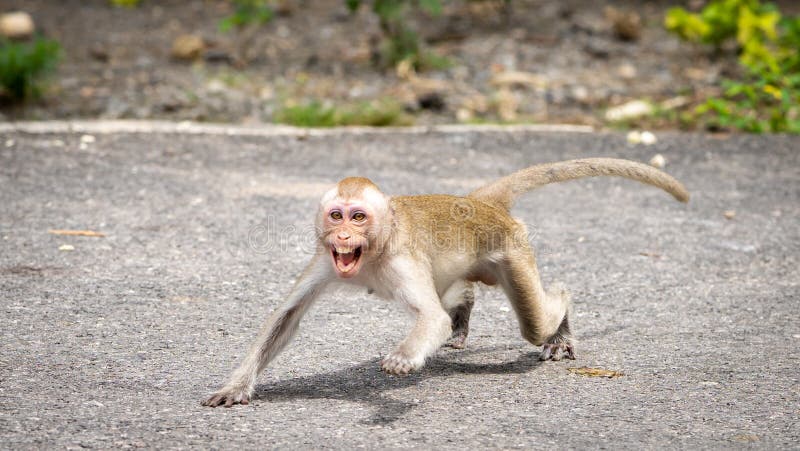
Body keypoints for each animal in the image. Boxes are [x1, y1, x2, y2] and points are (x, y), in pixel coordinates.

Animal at [202, 158, 689, 407]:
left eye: (358, 218)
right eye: (336, 216)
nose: (342, 237)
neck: (374, 250)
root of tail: (480, 204)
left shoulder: (401, 259)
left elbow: (429, 319)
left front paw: (402, 359)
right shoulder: (325, 260)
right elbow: (285, 317)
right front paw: (235, 387)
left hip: (512, 251)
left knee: (535, 320)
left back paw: (559, 323)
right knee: (457, 291)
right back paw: (464, 314)